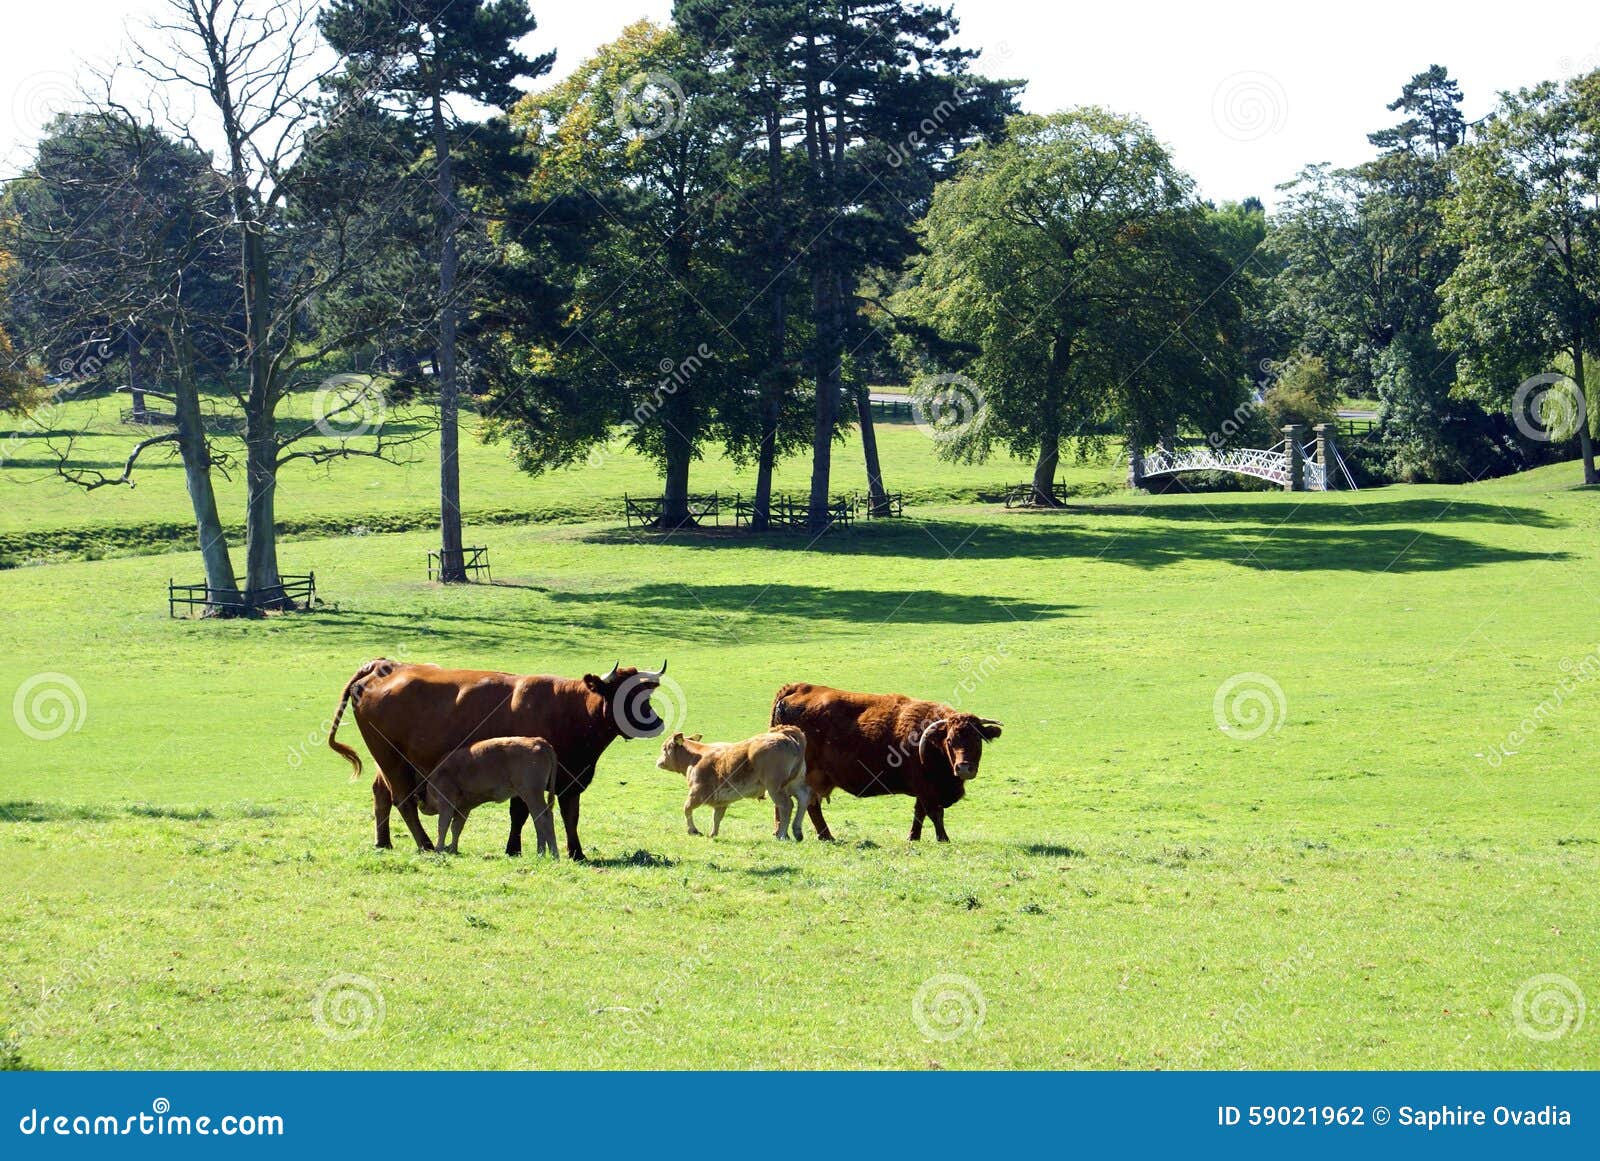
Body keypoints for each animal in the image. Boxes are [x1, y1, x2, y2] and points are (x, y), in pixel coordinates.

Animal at [418, 736, 559, 857]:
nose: (422, 806)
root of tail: (537, 740)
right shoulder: (464, 808)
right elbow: (456, 828)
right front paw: (453, 849)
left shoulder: (446, 803)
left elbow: (443, 826)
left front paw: (439, 849)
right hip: (532, 796)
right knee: (539, 819)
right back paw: (542, 854)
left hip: (532, 794)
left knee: (544, 818)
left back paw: (553, 855)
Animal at [655, 726, 810, 840]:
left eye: (664, 748)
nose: (658, 762)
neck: (696, 757)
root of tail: (786, 736)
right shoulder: (721, 801)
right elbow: (717, 817)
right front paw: (713, 834)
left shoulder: (697, 793)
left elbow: (687, 808)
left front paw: (692, 830)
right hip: (794, 783)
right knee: (804, 798)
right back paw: (797, 831)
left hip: (775, 787)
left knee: (786, 805)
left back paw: (782, 835)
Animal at [770, 683, 1002, 842]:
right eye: (950, 741)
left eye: (977, 739)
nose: (964, 768)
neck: (931, 741)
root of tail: (795, 689)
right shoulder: (926, 788)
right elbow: (934, 813)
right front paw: (943, 838)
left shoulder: (923, 790)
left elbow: (919, 813)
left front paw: (913, 837)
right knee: (809, 804)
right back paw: (825, 836)